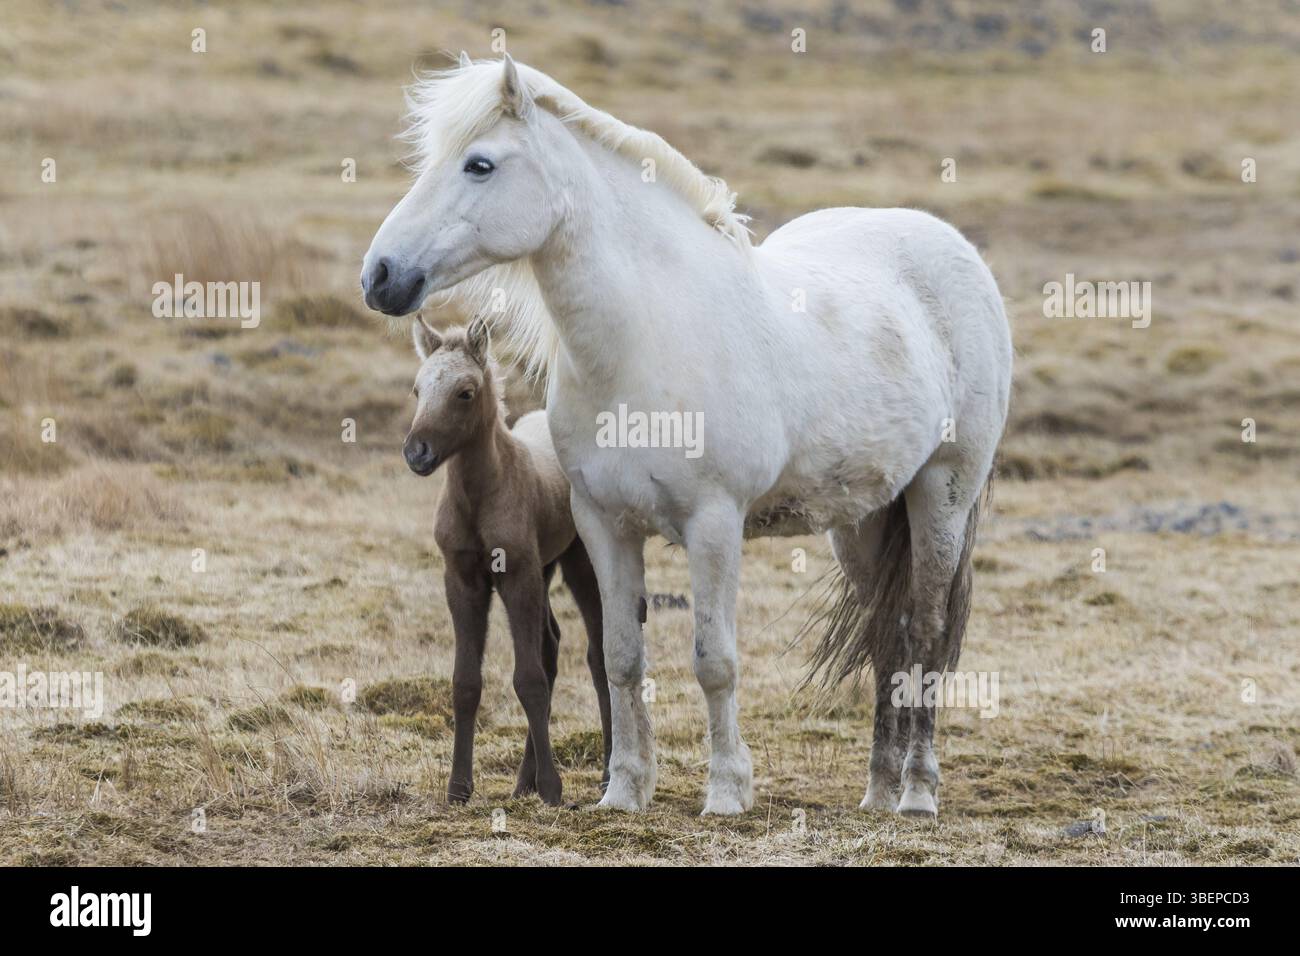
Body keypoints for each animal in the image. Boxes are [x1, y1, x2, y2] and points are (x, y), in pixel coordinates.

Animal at [403, 314, 611, 806]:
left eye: (465, 392)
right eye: (418, 390)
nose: (417, 452)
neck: (478, 498)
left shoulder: (516, 574)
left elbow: (528, 679)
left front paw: (553, 789)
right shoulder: (462, 578)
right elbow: (466, 681)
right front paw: (458, 787)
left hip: (579, 563)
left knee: (597, 656)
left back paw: (609, 774)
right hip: (545, 568)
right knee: (552, 646)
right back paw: (522, 782)